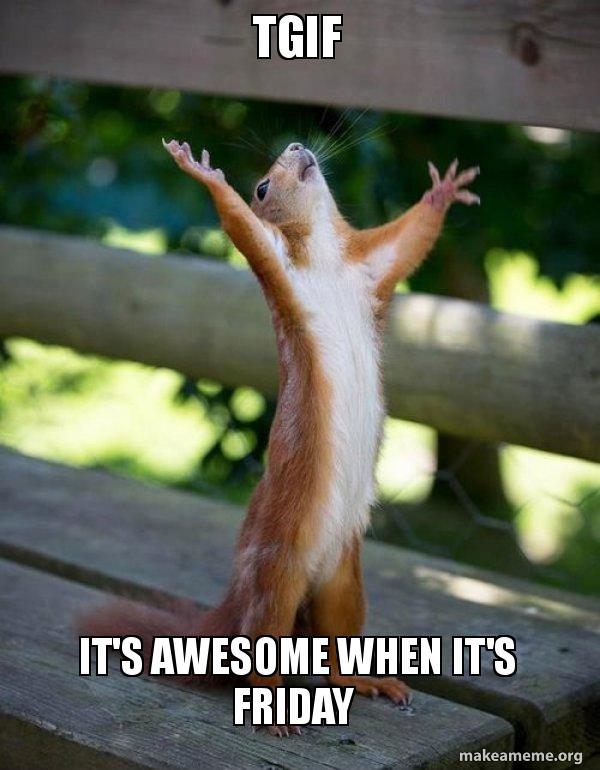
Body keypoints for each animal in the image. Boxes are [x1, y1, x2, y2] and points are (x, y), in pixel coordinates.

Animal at [81, 138, 479, 737]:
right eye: (263, 186)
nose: (296, 146)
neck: (326, 257)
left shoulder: (371, 267)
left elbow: (408, 241)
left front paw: (443, 191)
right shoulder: (279, 266)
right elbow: (242, 227)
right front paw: (204, 173)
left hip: (344, 582)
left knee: (337, 647)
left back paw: (366, 680)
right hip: (277, 572)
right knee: (262, 642)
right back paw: (273, 706)